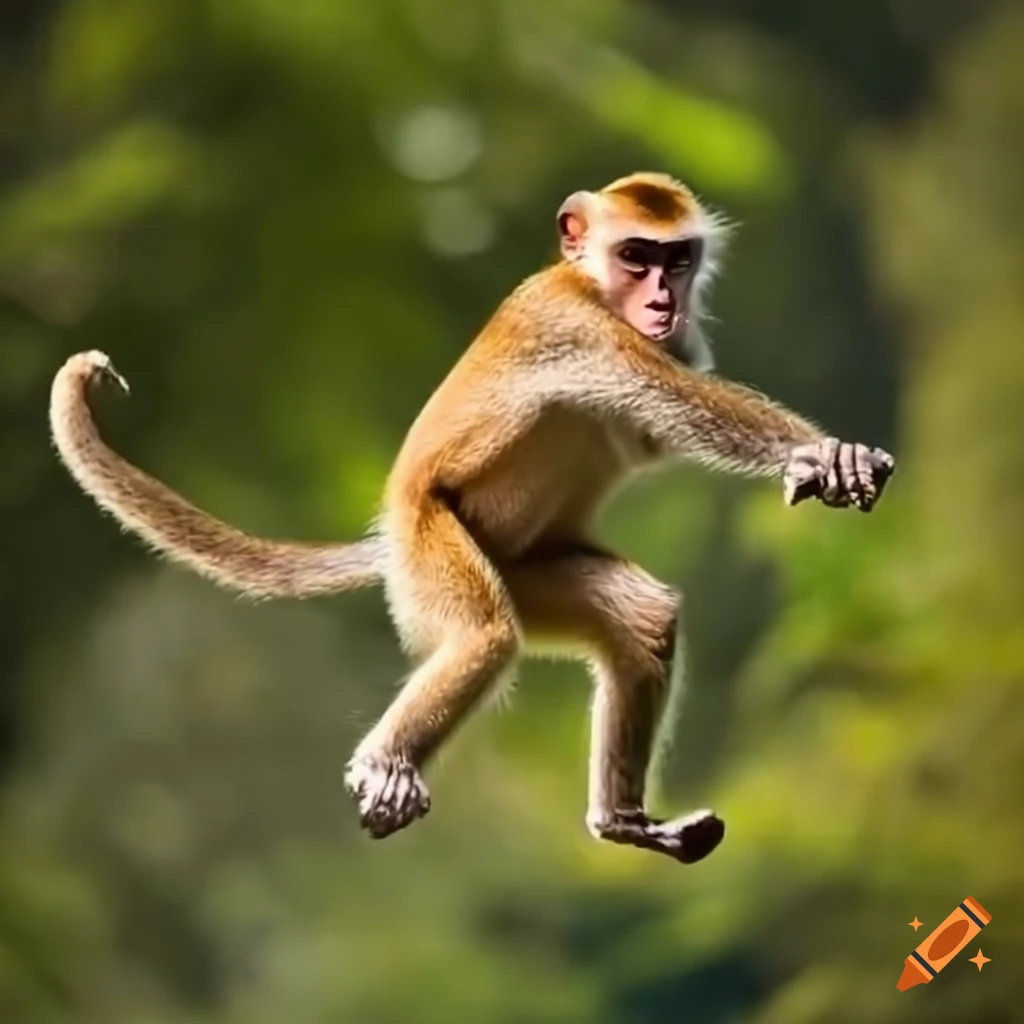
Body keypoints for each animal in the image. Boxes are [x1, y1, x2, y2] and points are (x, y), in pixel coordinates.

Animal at [49, 171, 894, 866]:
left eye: (678, 259)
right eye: (636, 257)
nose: (662, 299)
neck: (588, 282)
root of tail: (391, 532)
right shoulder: (571, 321)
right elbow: (674, 399)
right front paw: (827, 454)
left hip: (522, 567)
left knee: (642, 614)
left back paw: (621, 821)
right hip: (435, 547)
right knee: (485, 635)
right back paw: (386, 763)